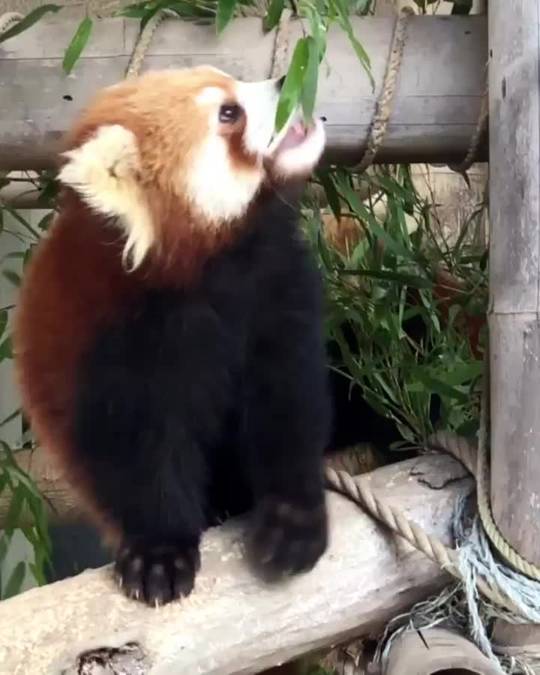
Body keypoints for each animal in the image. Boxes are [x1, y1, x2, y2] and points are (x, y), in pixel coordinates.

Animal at [14, 66, 331, 607]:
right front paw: (159, 551)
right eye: (229, 113)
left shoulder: (277, 290)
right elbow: (137, 452)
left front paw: (293, 517)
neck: (215, 270)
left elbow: (288, 403)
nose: (286, 79)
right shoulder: (113, 342)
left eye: (234, 81)